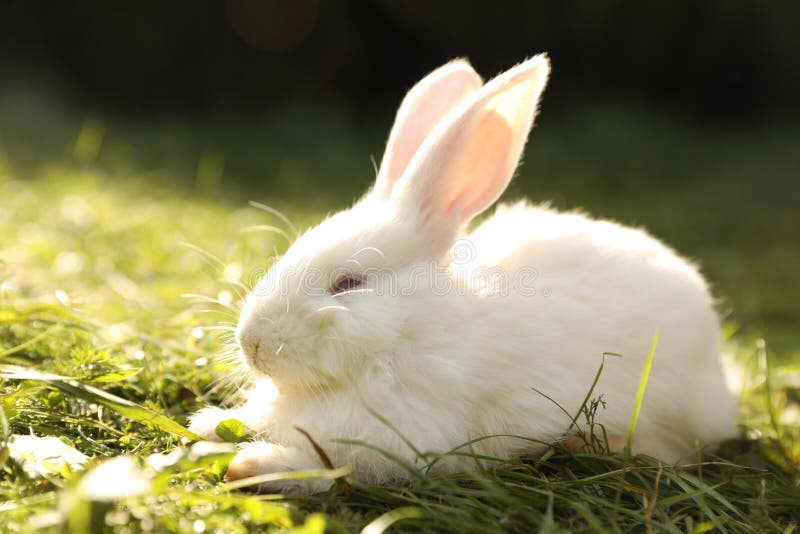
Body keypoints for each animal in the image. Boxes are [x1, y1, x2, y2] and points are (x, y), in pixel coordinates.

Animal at [188, 55, 738, 494]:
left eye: (347, 283)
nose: (251, 343)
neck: (410, 334)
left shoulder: (404, 441)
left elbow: (328, 467)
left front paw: (252, 466)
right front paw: (210, 427)